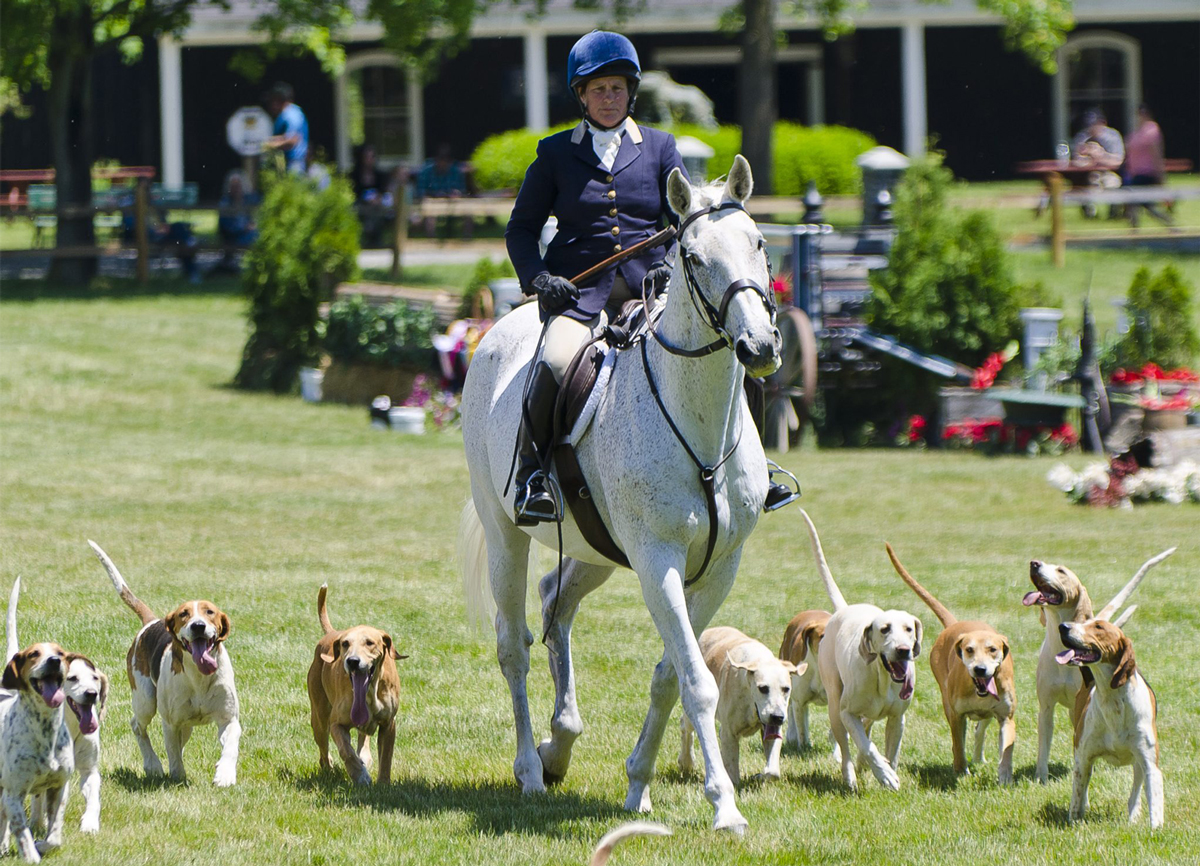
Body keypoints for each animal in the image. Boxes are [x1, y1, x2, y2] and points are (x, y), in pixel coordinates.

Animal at [458, 155, 781, 833]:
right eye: (693, 256)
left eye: (760, 243)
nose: (760, 348)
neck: (698, 421)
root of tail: (502, 327)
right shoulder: (657, 560)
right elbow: (696, 681)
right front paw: (724, 805)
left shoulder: (718, 567)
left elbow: (669, 676)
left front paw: (638, 786)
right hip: (507, 535)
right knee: (514, 647)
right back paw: (531, 769)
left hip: (598, 550)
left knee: (555, 606)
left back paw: (560, 743)